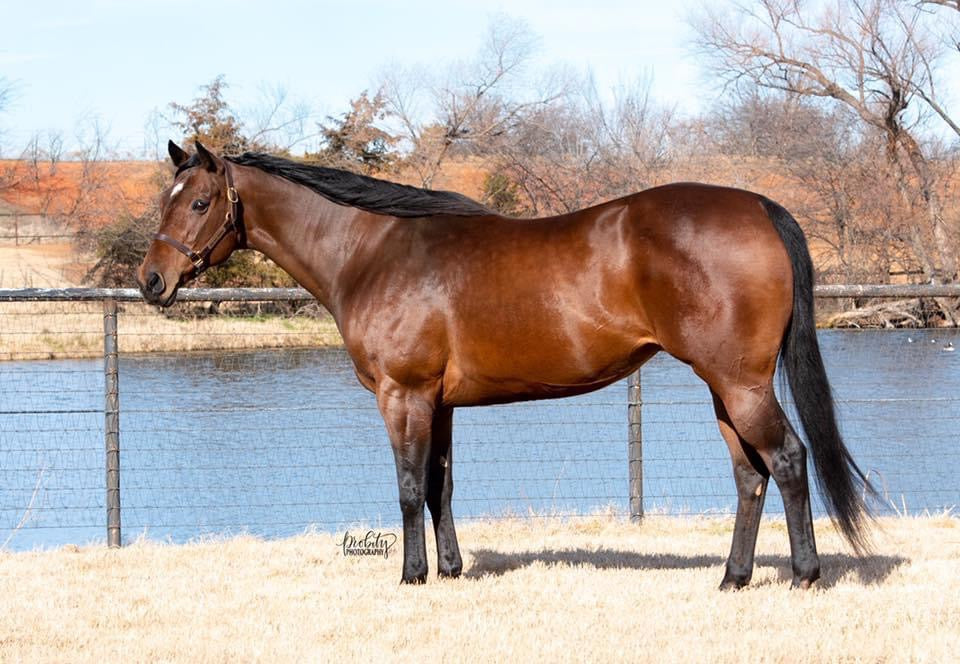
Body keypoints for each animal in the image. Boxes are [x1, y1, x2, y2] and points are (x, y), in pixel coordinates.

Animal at [138, 140, 873, 589]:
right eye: (165, 199)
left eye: (199, 202)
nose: (151, 281)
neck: (373, 251)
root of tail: (758, 206)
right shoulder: (438, 402)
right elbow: (440, 486)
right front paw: (451, 569)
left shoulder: (402, 395)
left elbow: (409, 488)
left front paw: (411, 576)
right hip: (725, 388)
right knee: (750, 477)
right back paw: (732, 578)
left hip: (741, 384)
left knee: (788, 461)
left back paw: (804, 574)